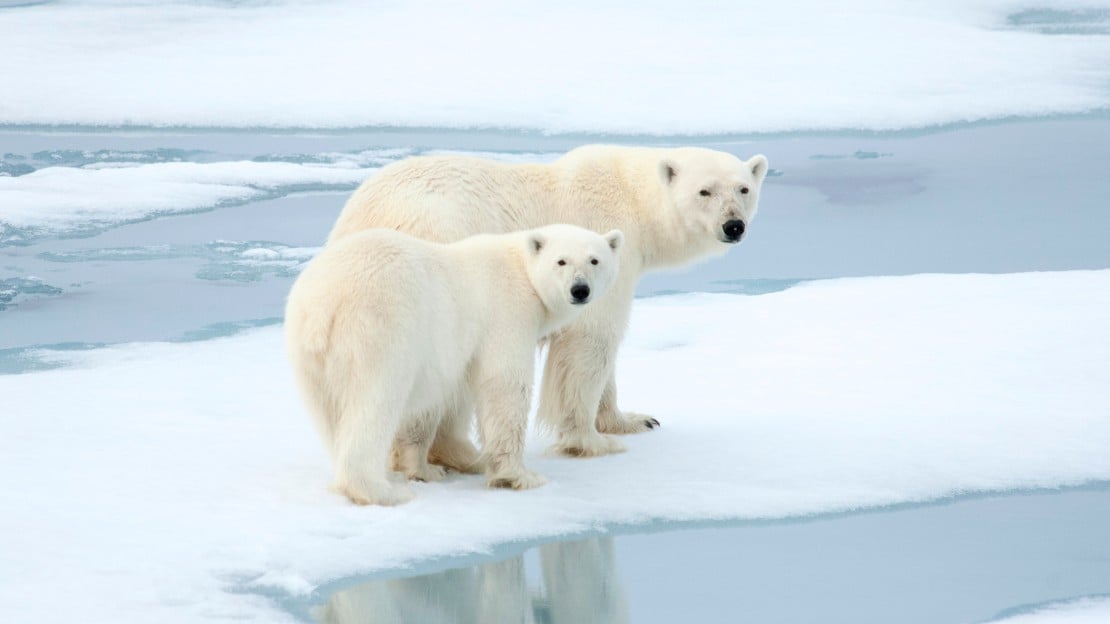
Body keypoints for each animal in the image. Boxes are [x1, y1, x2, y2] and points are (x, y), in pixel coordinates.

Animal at [285, 223, 623, 505]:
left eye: (594, 260)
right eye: (561, 261)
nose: (580, 290)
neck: (520, 268)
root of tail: (323, 305)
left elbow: (441, 399)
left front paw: (429, 468)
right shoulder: (507, 311)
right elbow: (505, 385)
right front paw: (519, 476)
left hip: (307, 352)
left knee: (329, 414)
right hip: (379, 329)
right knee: (376, 402)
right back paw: (383, 491)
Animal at [327, 145, 768, 459]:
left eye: (744, 189)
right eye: (704, 190)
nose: (733, 225)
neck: (633, 199)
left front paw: (633, 420)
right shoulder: (597, 241)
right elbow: (591, 339)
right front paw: (589, 439)